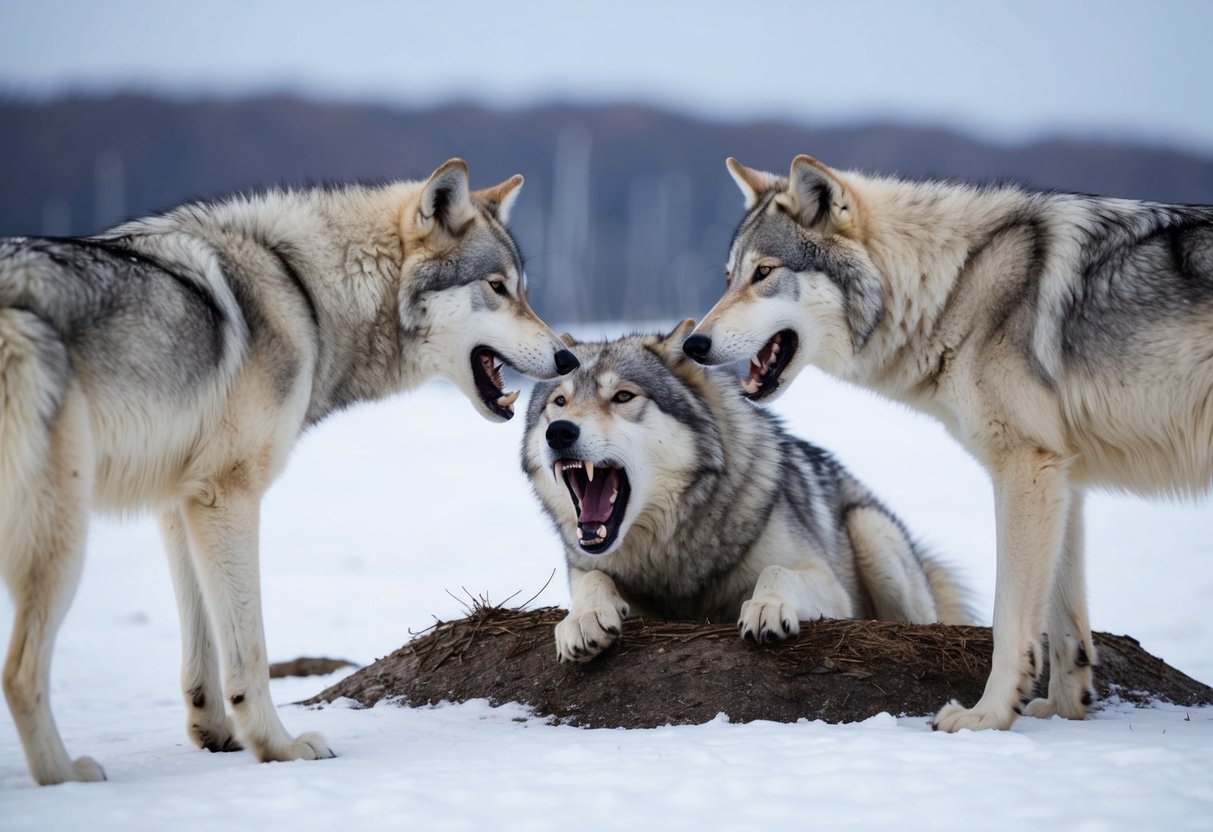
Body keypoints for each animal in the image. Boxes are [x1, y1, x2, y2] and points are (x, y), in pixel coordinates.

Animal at [0, 158, 580, 785]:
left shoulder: (181, 503)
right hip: (61, 534)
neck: (305, 295)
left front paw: (217, 737)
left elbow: (202, 647)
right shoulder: (228, 495)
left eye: (523, 290)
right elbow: (249, 650)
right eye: (497, 288)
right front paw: (277, 748)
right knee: (19, 671)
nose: (568, 357)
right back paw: (66, 776)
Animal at [521, 321, 968, 663]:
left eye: (623, 396)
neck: (673, 548)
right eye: (559, 402)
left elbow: (776, 571)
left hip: (872, 531)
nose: (559, 432)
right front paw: (583, 620)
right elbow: (593, 580)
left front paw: (767, 606)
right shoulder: (590, 565)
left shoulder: (830, 587)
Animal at [682, 154, 1213, 731]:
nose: (692, 344)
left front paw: (988, 718)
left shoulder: (1025, 469)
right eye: (729, 278)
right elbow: (1063, 623)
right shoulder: (1063, 475)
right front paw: (1064, 712)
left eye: (764, 273)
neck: (955, 285)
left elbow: (1010, 620)